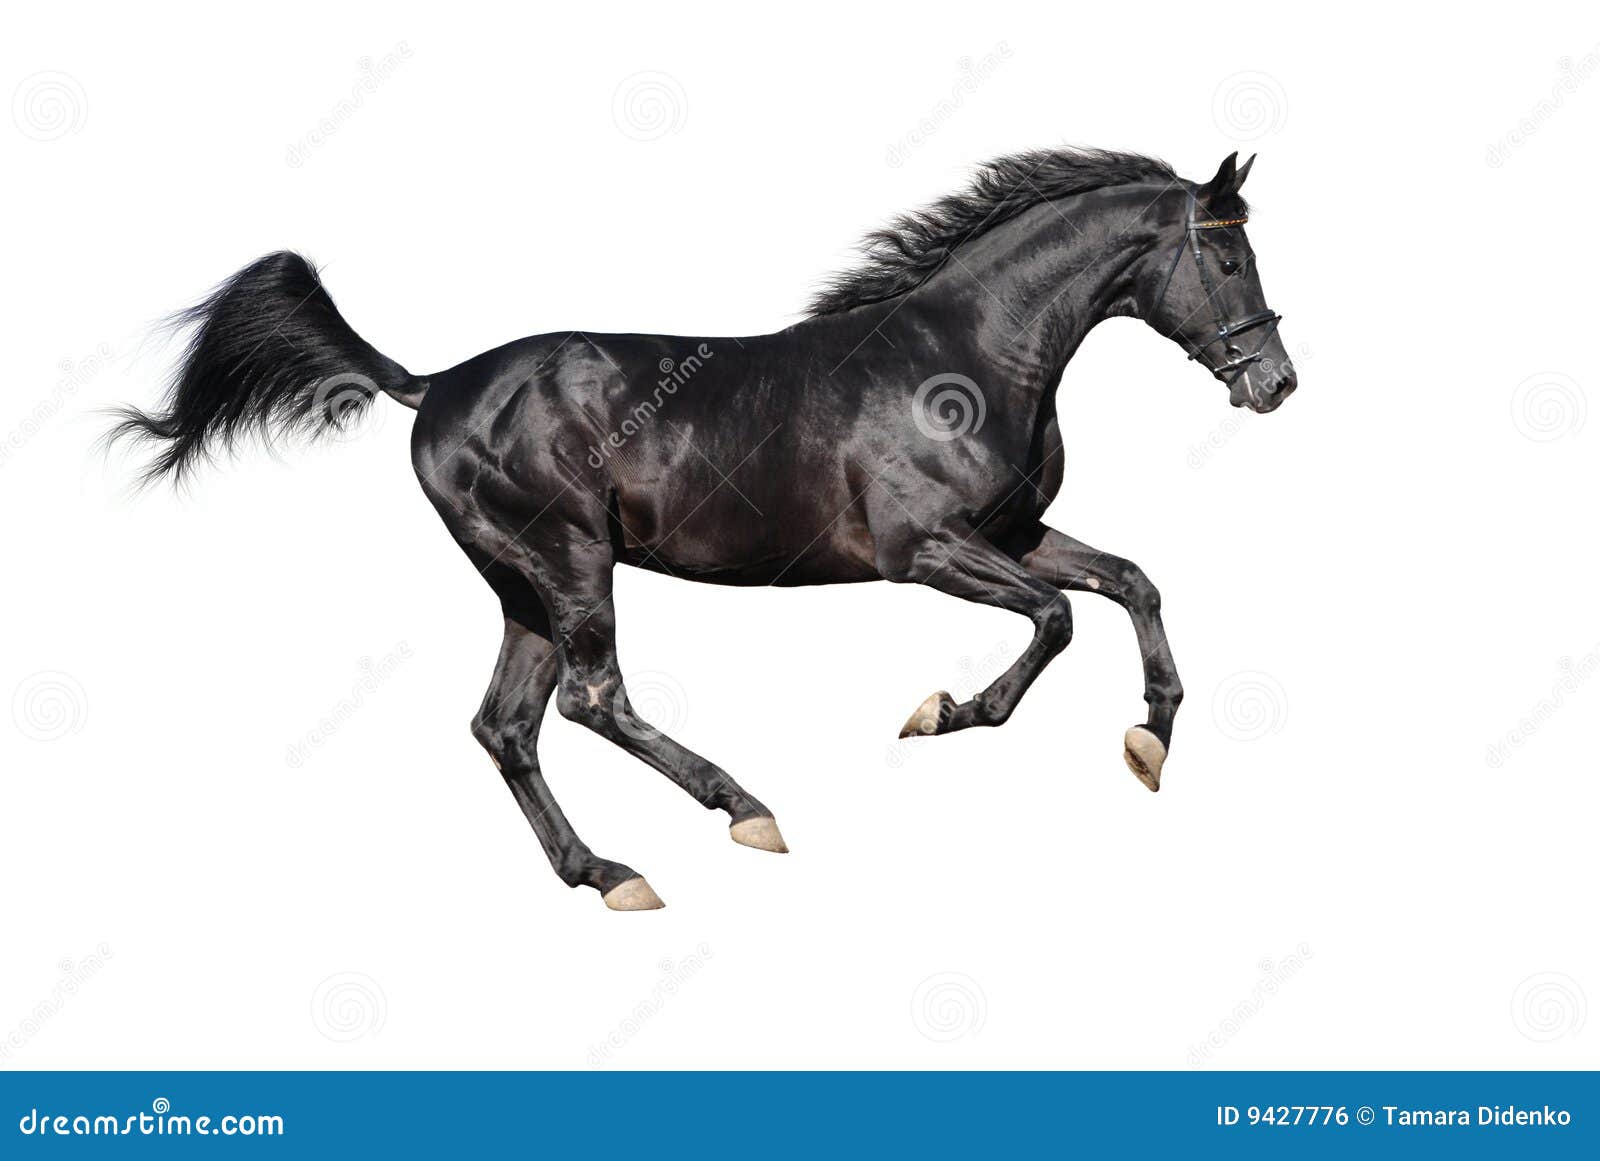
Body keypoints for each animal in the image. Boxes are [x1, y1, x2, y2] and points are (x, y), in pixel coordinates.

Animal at [112, 148, 1295, 910]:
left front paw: (1150, 741)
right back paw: (743, 809)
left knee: (507, 727)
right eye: (1230, 257)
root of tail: (436, 385)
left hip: (520, 586)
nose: (1276, 382)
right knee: (592, 701)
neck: (959, 354)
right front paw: (942, 713)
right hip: (571, 560)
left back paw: (607, 875)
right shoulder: (925, 551)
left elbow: (1131, 581)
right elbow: (1054, 620)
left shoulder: (1017, 529)